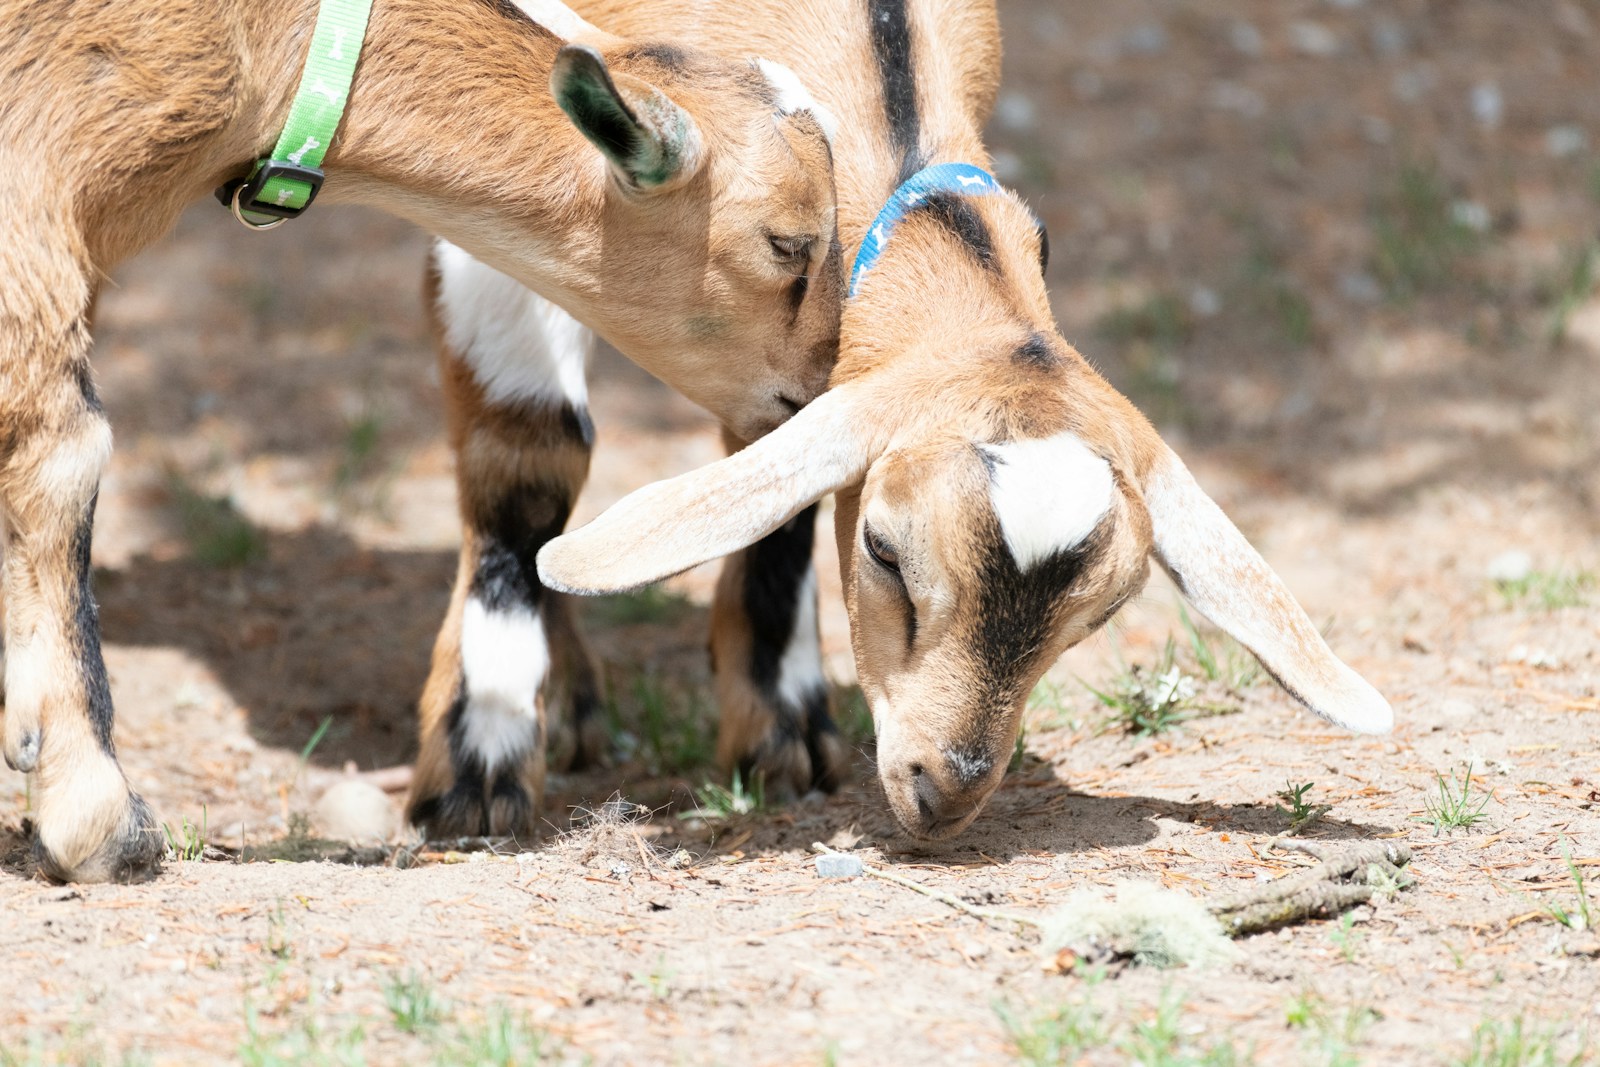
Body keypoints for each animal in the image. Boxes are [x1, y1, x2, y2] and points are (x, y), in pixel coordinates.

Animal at [0, 0, 840, 882]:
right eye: (788, 242)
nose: (823, 376)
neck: (264, 39)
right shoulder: (34, 181)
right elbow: (62, 449)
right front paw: (99, 819)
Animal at [431, 0, 1394, 843]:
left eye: (1107, 611)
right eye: (885, 552)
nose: (944, 789)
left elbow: (778, 465)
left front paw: (777, 727)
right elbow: (531, 452)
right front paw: (476, 767)